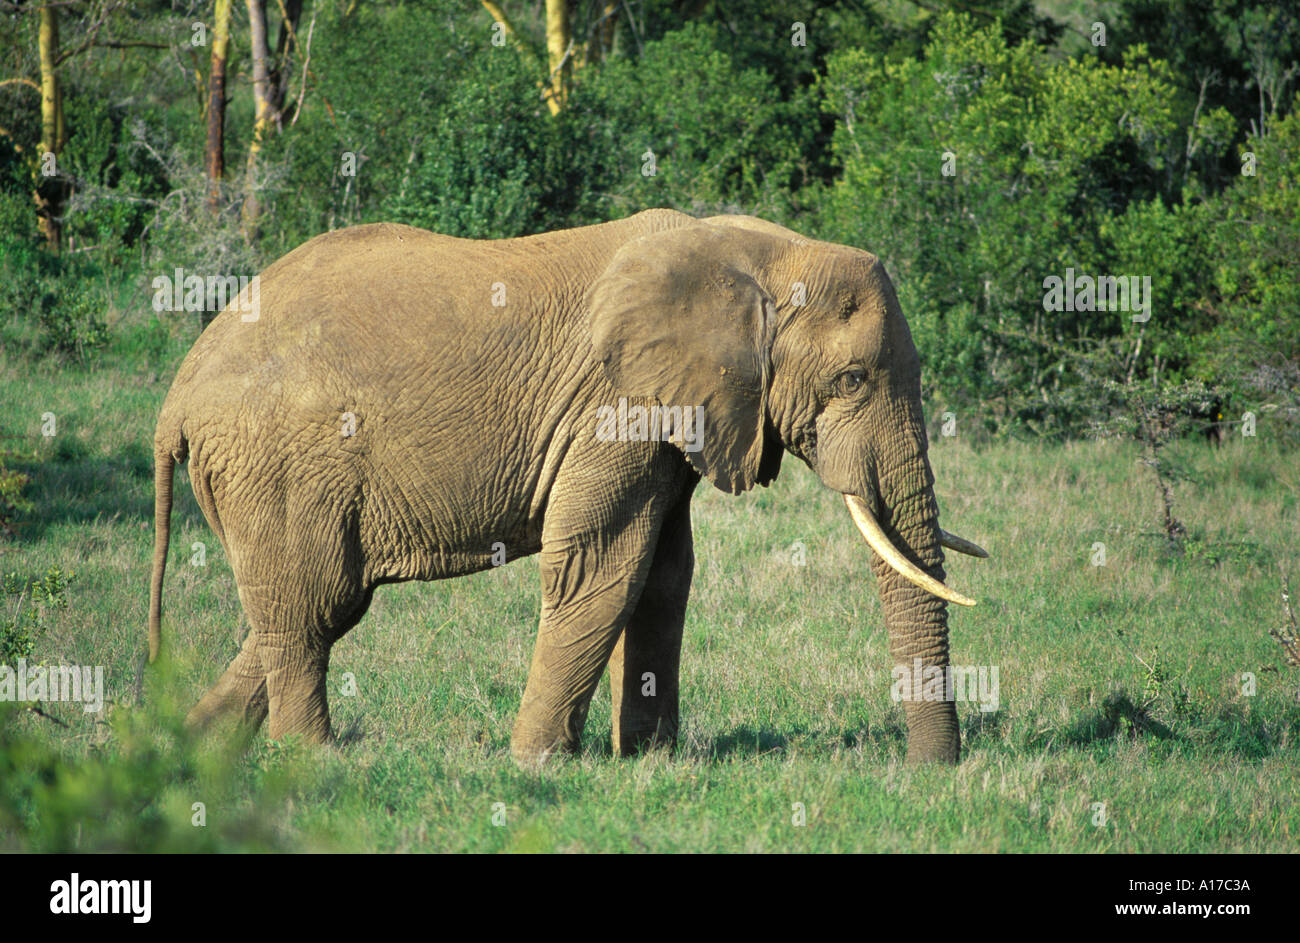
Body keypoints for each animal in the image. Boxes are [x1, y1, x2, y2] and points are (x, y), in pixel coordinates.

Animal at [147, 208, 987, 764]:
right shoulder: (612, 407)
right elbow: (601, 565)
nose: (930, 768)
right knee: (312, 607)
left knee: (306, 609)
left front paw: (650, 762)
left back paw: (190, 747)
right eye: (851, 379)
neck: (760, 249)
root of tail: (176, 398)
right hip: (277, 468)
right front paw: (538, 764)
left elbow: (664, 574)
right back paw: (314, 760)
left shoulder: (664, 416)